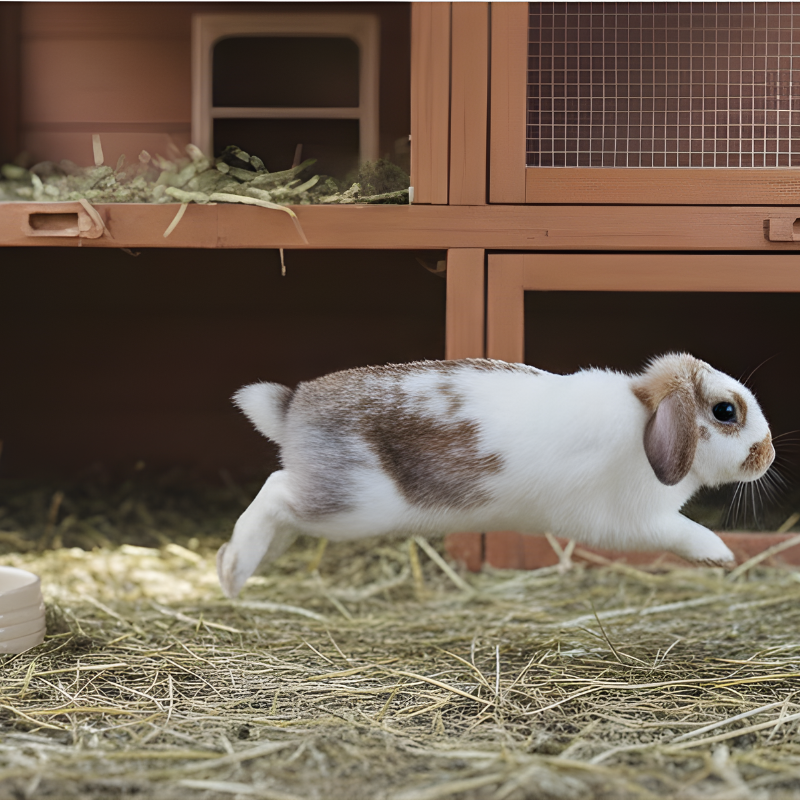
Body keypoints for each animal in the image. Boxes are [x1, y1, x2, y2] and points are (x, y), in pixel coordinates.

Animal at [217, 353, 775, 598]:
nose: (767, 453)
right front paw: (720, 555)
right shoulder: (632, 522)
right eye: (726, 411)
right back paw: (232, 571)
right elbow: (682, 533)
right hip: (351, 505)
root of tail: (292, 408)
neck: (643, 425)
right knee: (275, 493)